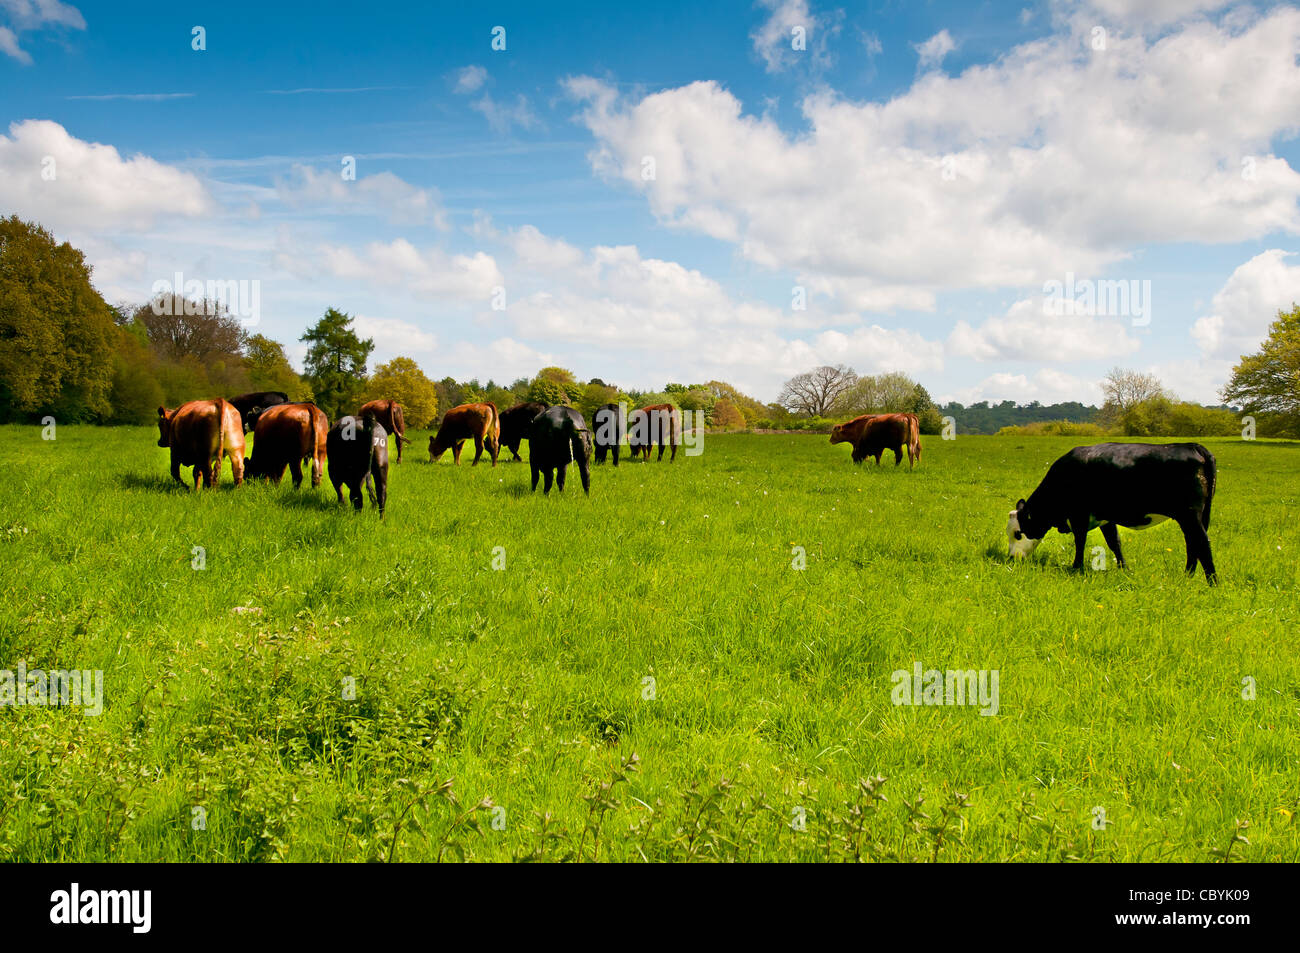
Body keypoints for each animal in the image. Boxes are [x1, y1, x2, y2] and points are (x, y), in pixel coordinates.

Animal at [1003, 439, 1216, 579]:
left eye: (1018, 533)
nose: (1012, 558)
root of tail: (1193, 446)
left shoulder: (1079, 515)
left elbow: (1080, 541)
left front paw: (1076, 567)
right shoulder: (1105, 518)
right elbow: (1115, 542)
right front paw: (1124, 569)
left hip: (1189, 514)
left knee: (1201, 542)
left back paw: (1212, 581)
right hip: (1195, 516)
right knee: (1192, 543)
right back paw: (1188, 576)